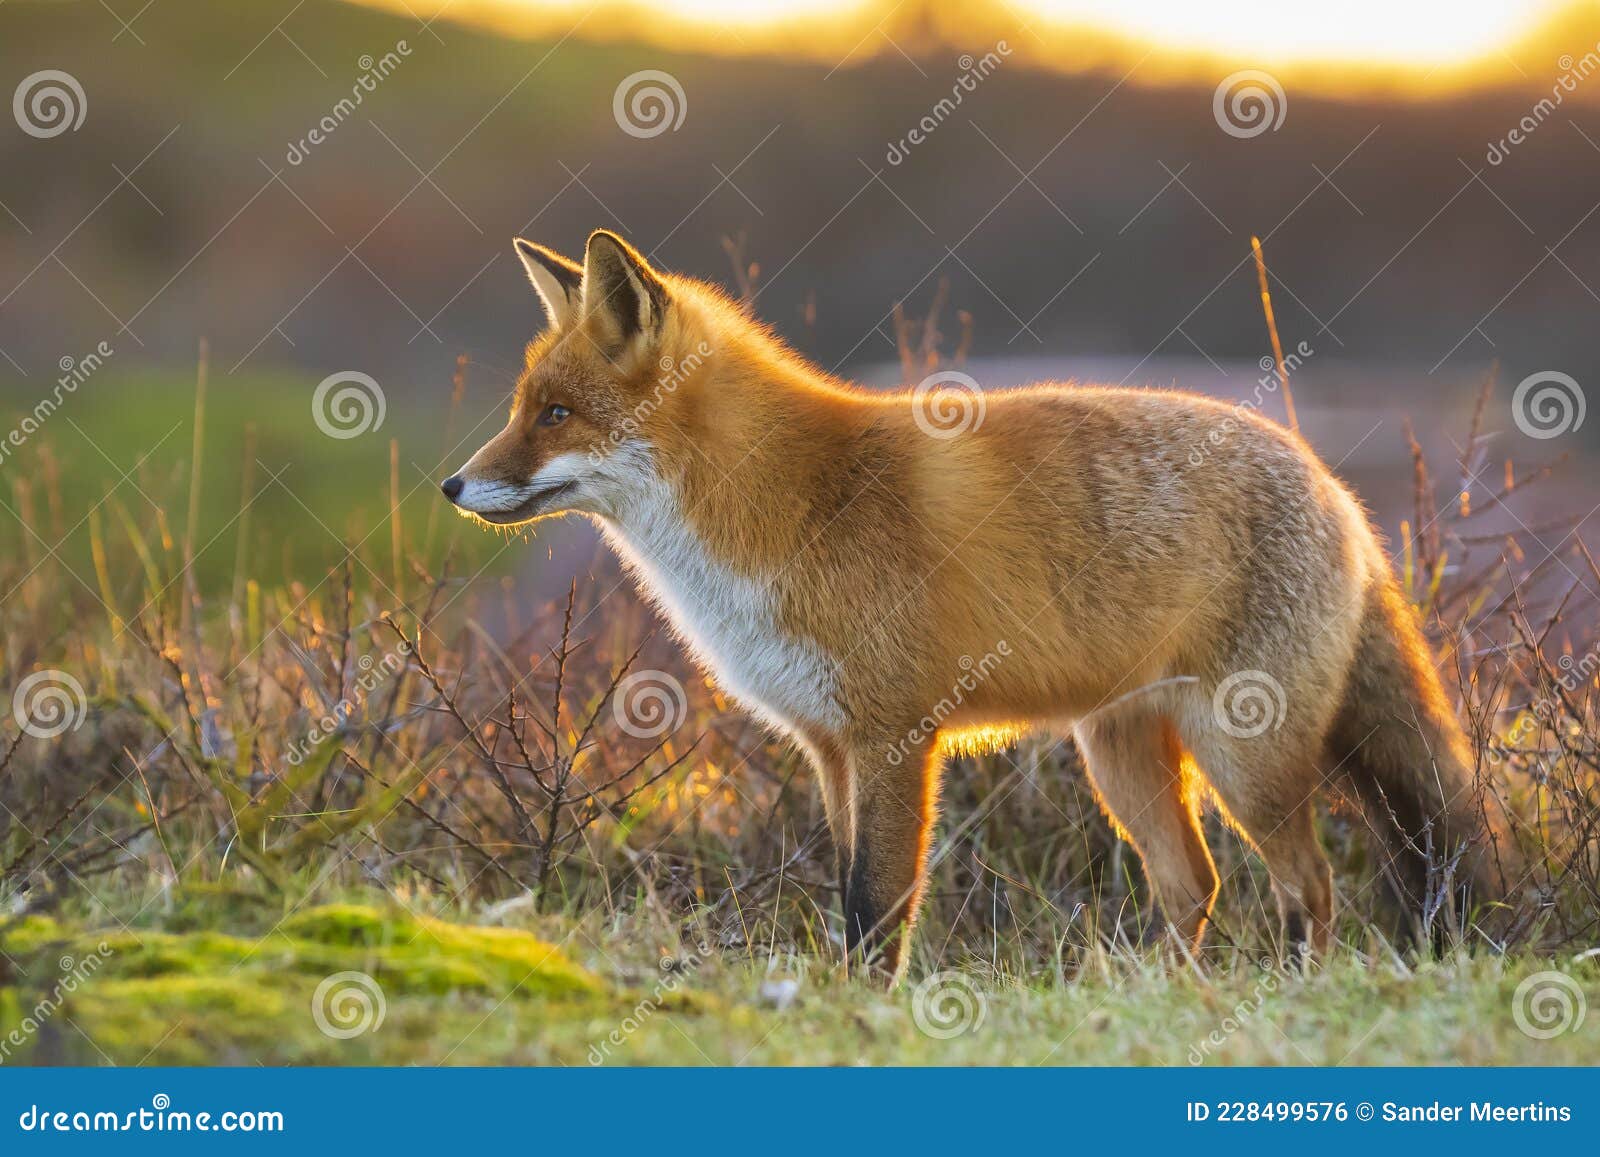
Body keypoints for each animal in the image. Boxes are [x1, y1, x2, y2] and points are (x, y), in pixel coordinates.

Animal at [442, 228, 1514, 980]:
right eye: (522, 408)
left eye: (555, 415)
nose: (452, 486)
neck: (779, 506)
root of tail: (1339, 491)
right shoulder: (831, 746)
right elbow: (850, 898)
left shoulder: (894, 735)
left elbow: (876, 905)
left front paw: (865, 1018)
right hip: (1121, 757)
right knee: (1196, 886)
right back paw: (1172, 1001)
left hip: (1244, 756)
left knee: (1312, 887)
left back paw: (1276, 1000)